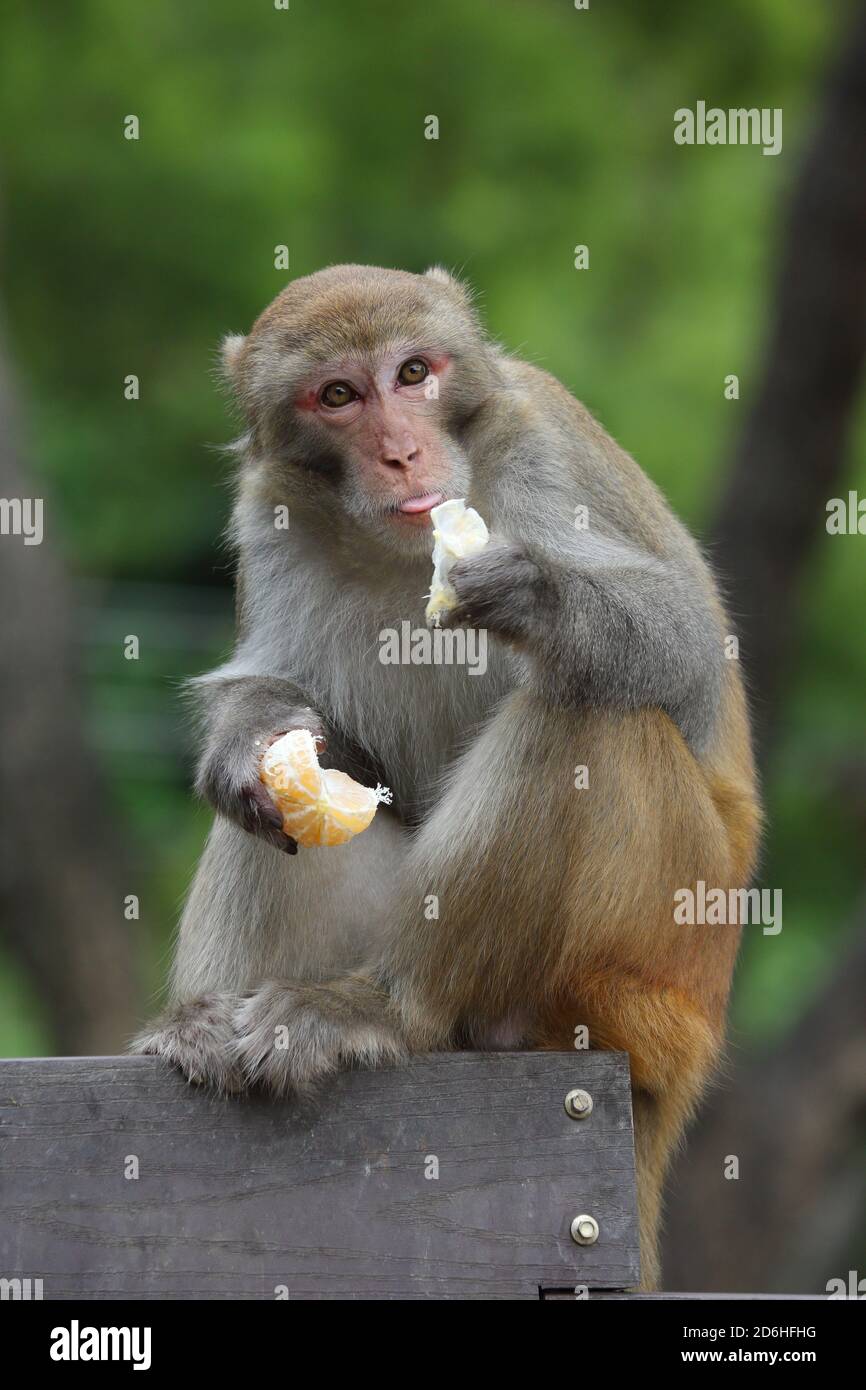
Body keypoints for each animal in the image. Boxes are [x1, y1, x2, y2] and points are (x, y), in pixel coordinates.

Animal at [132, 264, 761, 1289]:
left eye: (415, 373)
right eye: (338, 396)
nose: (400, 452)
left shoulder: (548, 448)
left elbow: (689, 657)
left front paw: (535, 594)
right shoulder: (267, 514)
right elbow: (279, 709)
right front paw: (244, 741)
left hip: (655, 955)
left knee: (590, 708)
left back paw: (390, 1010)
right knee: (290, 804)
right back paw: (211, 1025)